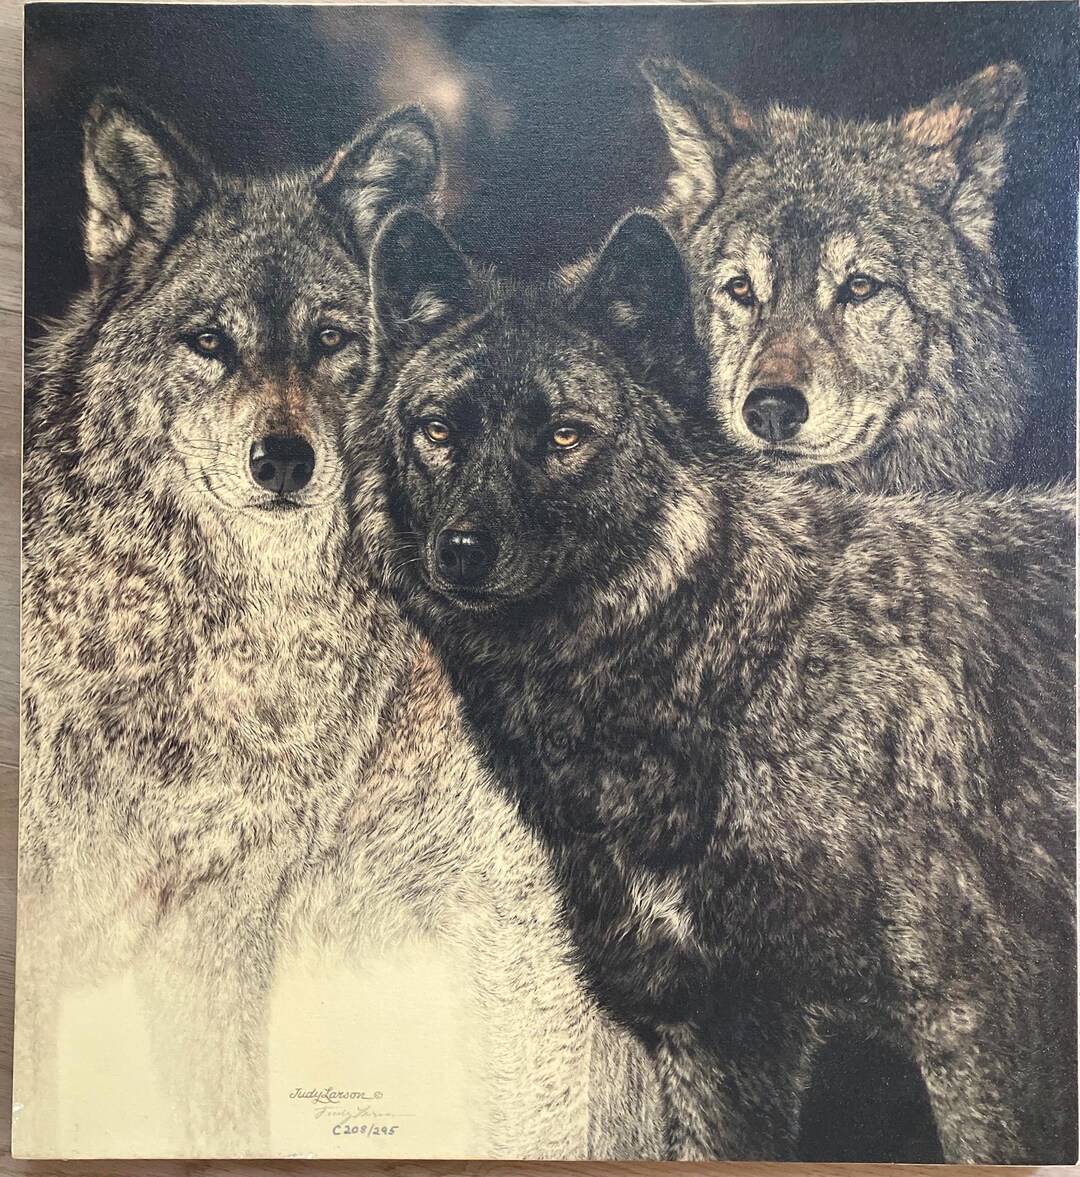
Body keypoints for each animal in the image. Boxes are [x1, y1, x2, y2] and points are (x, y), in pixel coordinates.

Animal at [351, 205, 1076, 1164]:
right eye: (439, 431)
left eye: (564, 436)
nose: (463, 549)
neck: (740, 671)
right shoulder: (717, 1033)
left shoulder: (984, 1022)